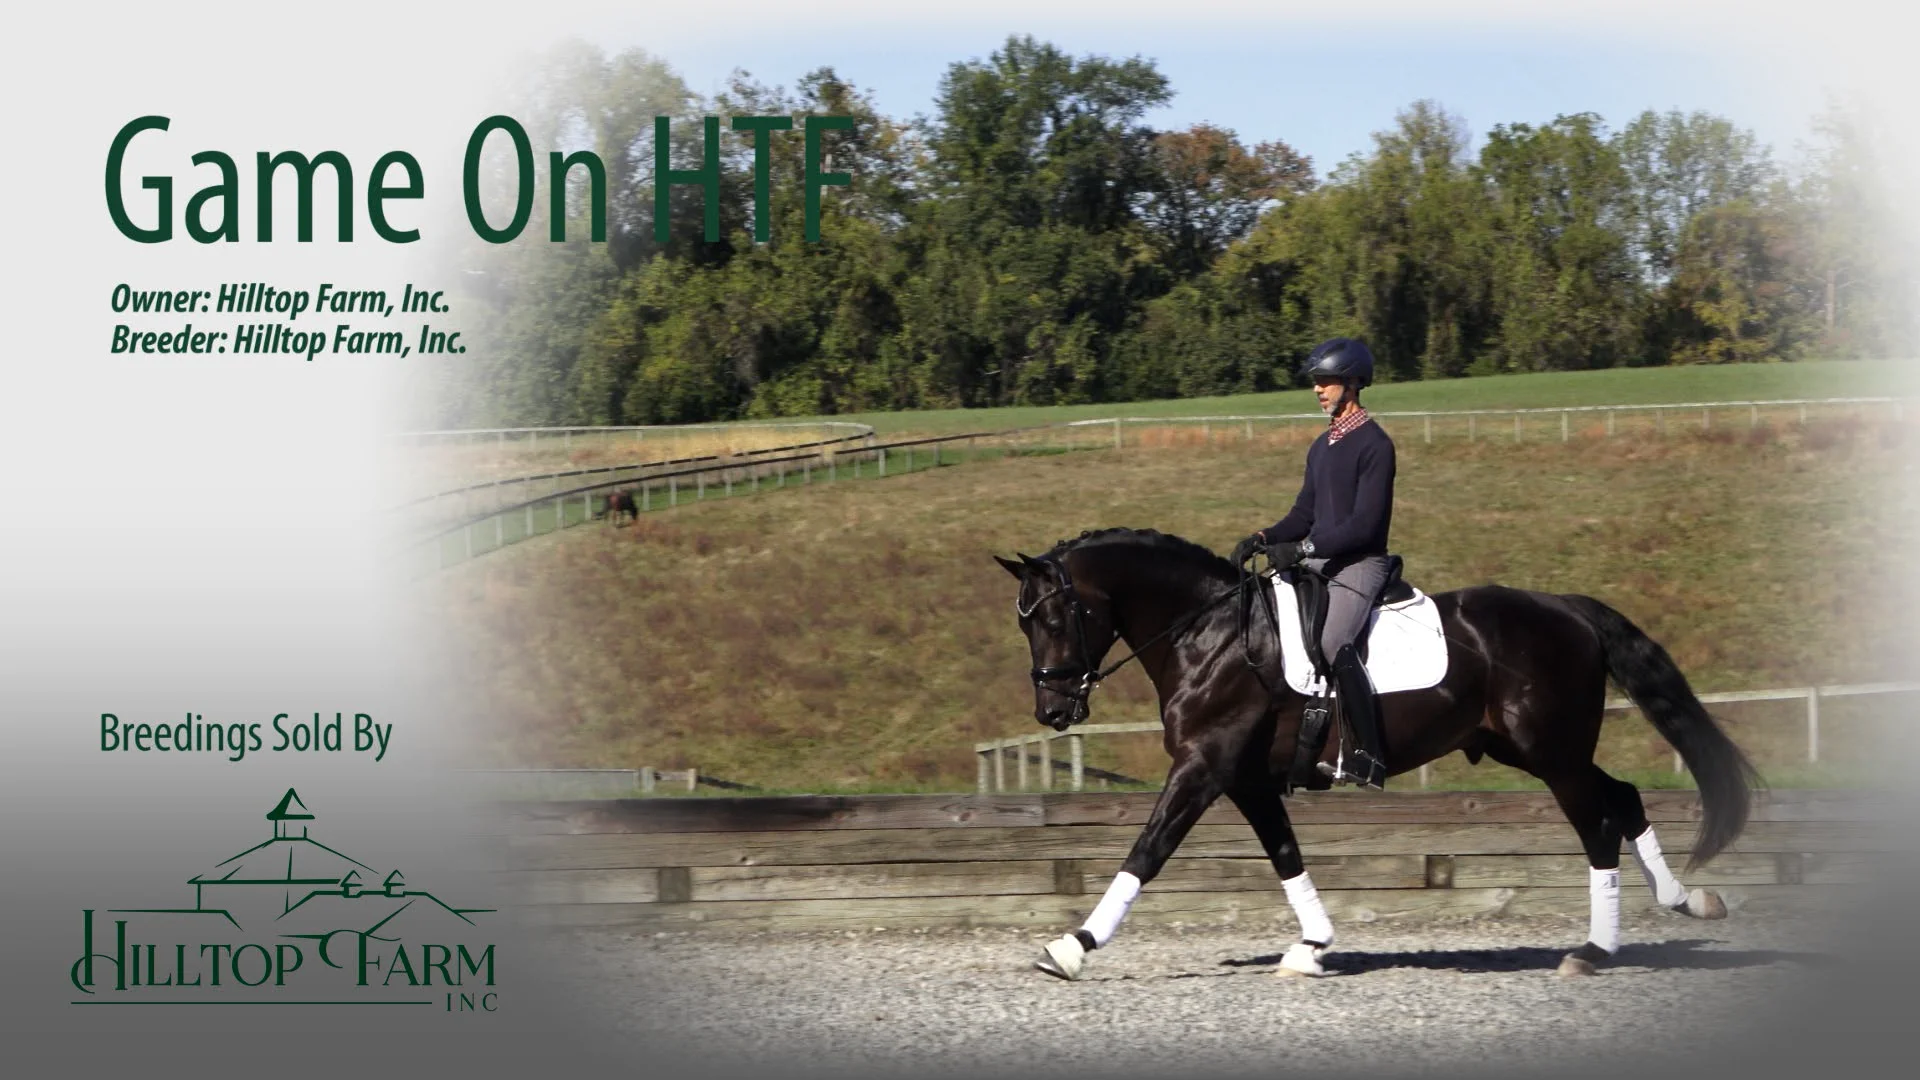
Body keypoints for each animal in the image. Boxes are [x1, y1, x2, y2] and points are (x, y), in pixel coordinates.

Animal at [994, 528, 1758, 980]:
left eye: (1058, 616)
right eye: (1023, 624)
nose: (1053, 711)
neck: (1208, 635)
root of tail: (1568, 608)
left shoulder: (1204, 767)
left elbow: (1147, 852)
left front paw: (1071, 947)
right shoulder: (1245, 779)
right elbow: (1285, 855)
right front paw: (1311, 946)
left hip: (1552, 754)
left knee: (1598, 825)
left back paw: (1594, 950)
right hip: (1529, 749)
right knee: (1622, 797)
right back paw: (1686, 901)